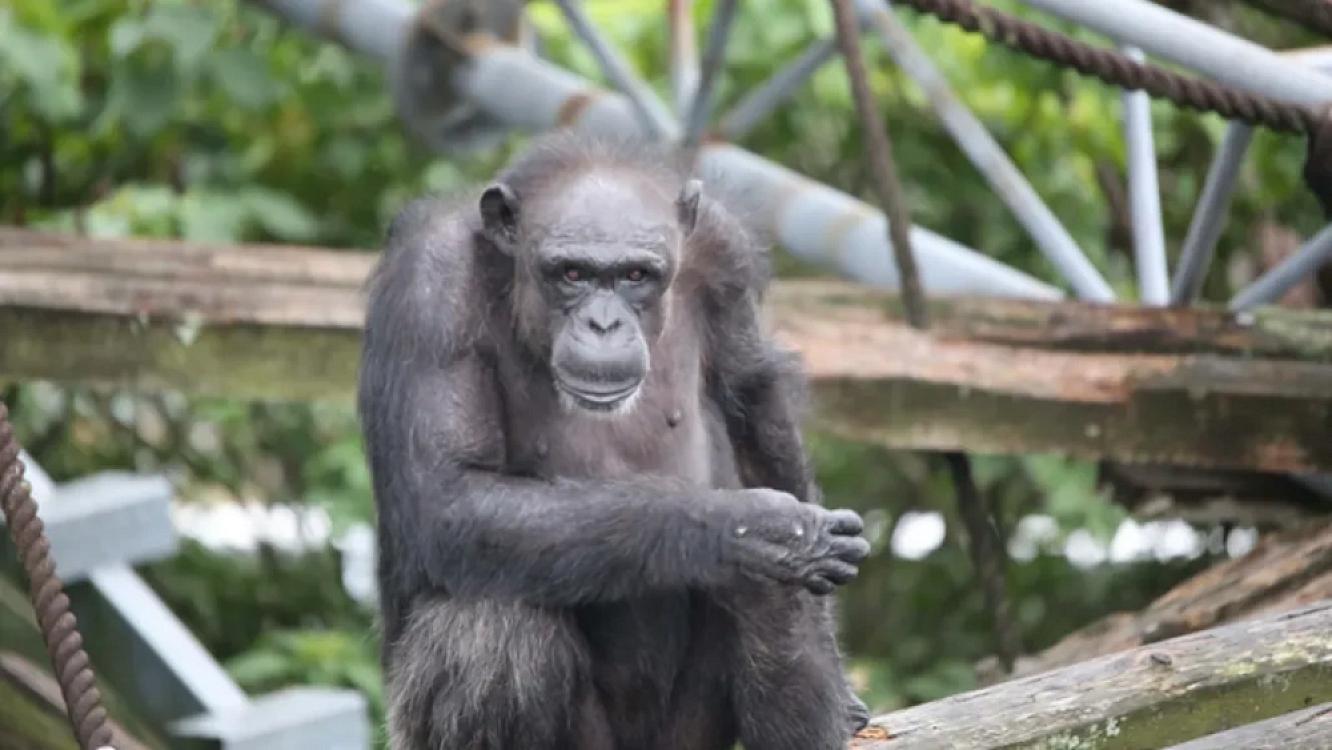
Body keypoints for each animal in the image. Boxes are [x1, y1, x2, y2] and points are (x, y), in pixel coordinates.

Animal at [357, 130, 872, 750]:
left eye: (635, 276)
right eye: (572, 274)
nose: (604, 324)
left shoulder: (725, 253)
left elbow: (753, 397)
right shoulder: (430, 292)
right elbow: (453, 492)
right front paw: (760, 531)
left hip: (689, 736)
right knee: (491, 626)